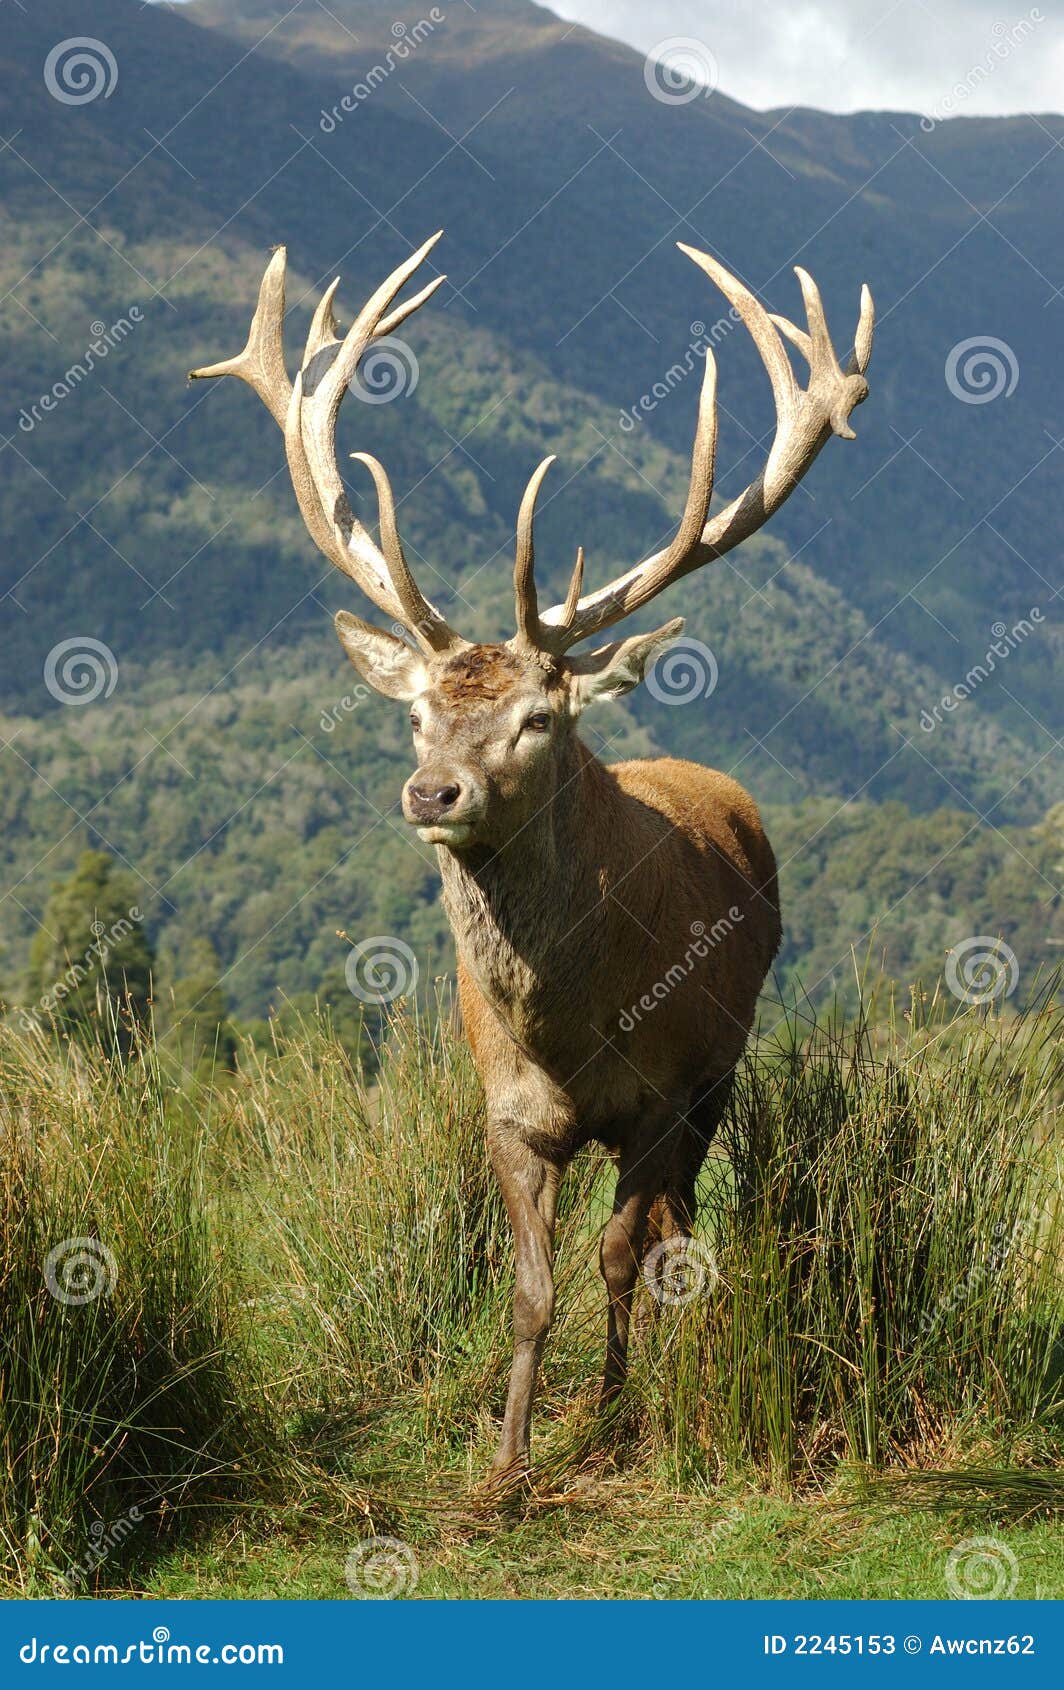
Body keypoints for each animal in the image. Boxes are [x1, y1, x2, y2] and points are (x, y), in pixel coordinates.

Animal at [190, 232, 873, 1487]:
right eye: (416, 713)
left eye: (537, 718)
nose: (432, 791)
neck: (569, 1027)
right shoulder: (502, 1108)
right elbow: (528, 1288)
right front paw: (506, 1465)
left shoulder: (663, 1090)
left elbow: (617, 1255)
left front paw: (607, 1416)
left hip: (723, 1068)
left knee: (675, 1227)